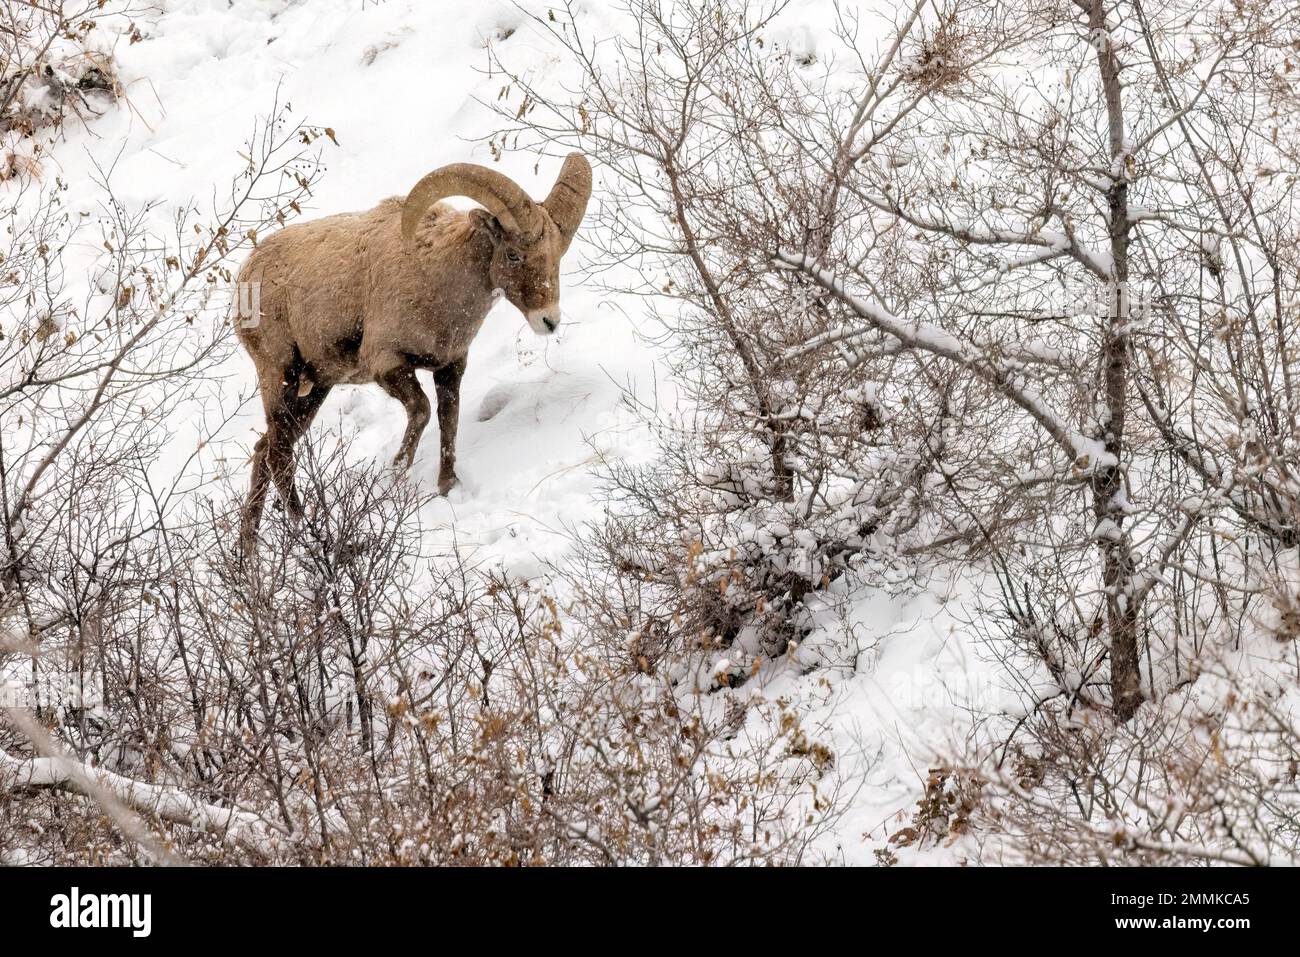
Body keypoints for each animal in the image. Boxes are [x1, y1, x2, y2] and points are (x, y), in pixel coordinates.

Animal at [234, 153, 592, 544]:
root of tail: (246, 274)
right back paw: (307, 528)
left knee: (264, 449)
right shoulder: (388, 364)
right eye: (513, 255)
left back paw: (250, 551)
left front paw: (448, 487)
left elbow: (449, 421)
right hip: (280, 373)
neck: (437, 279)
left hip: (316, 388)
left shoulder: (450, 367)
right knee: (278, 452)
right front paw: (394, 473)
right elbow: (421, 411)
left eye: (557, 255)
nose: (549, 321)